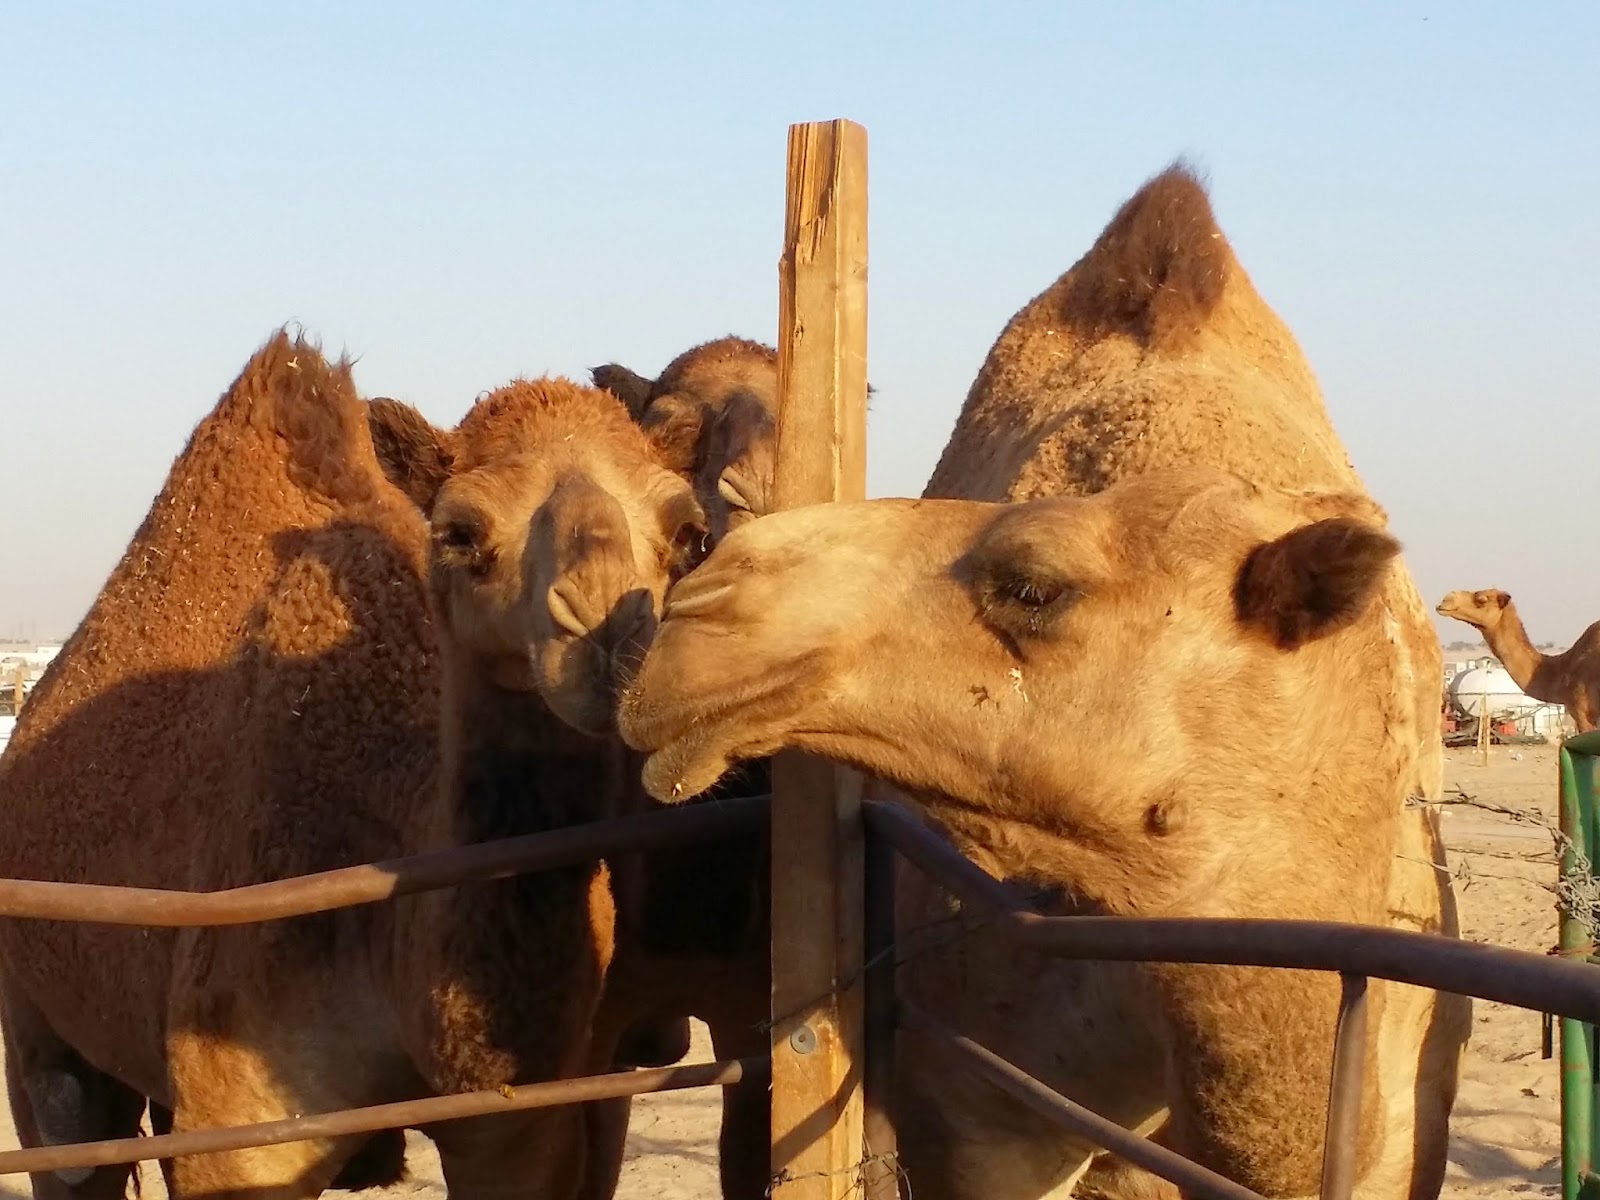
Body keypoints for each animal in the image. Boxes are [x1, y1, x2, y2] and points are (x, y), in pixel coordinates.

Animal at [0, 330, 712, 1200]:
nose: (610, 637)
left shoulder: (517, 1128)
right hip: (34, 1021)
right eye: (460, 533)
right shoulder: (241, 1121)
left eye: (688, 532)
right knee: (69, 1131)